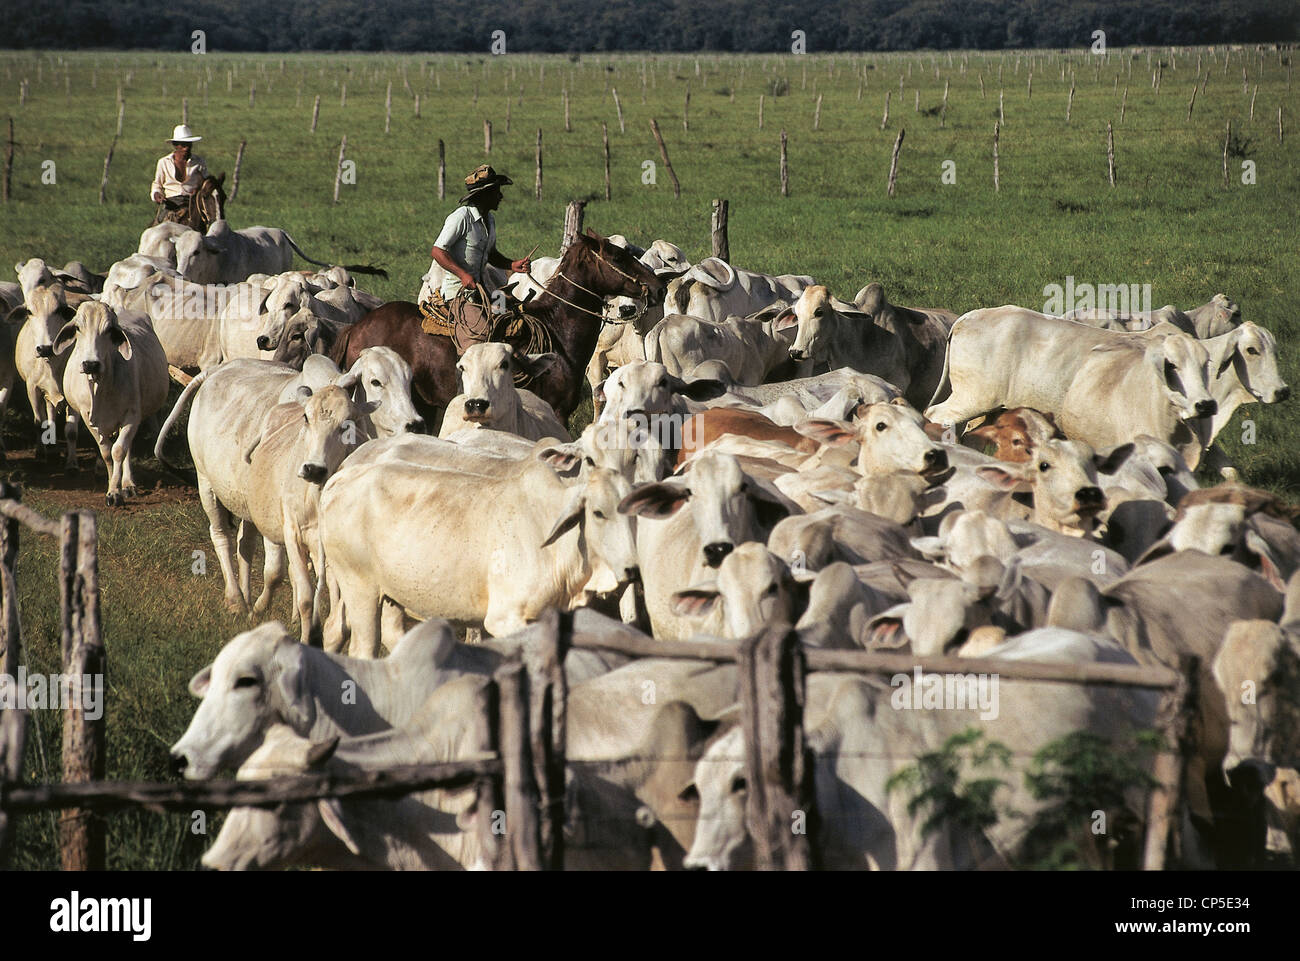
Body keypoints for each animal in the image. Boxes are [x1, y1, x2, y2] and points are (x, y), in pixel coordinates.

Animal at [54, 302, 168, 505]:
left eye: (109, 330)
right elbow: (106, 452)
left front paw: (116, 492)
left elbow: (119, 451)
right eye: (78, 328)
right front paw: (112, 488)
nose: (91, 364)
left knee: (126, 448)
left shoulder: (132, 416)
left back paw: (128, 484)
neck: (102, 387)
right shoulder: (88, 417)